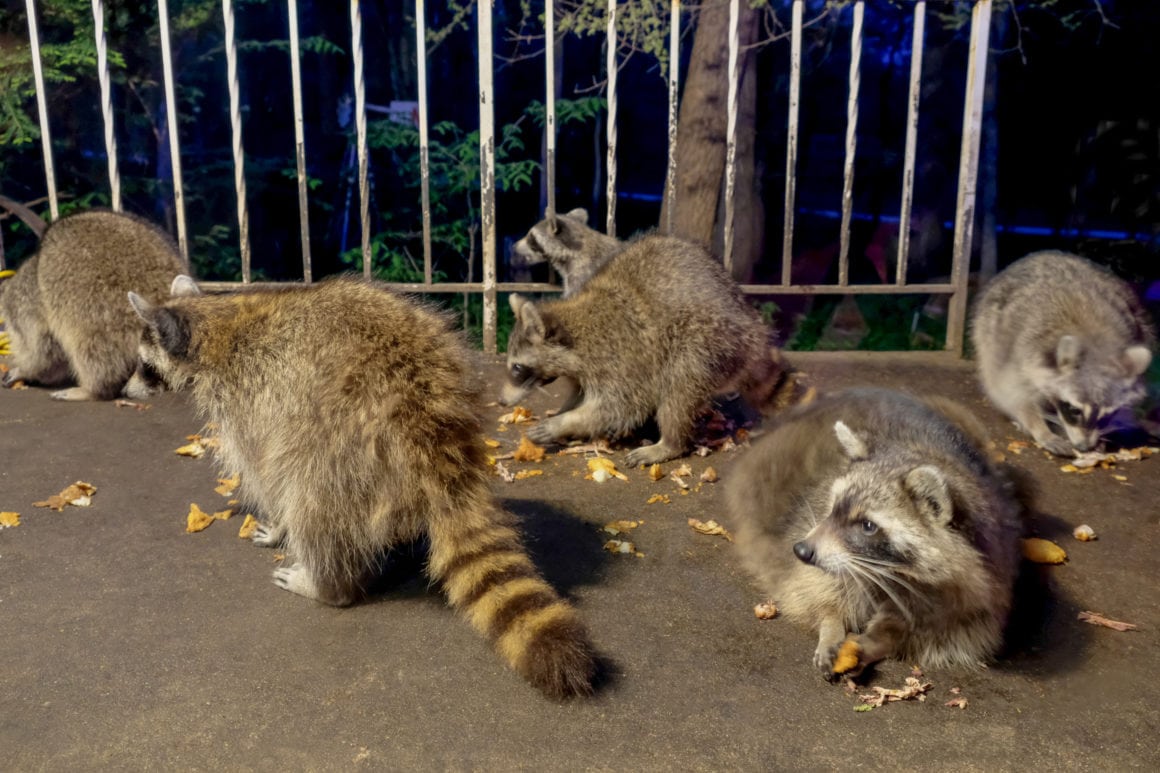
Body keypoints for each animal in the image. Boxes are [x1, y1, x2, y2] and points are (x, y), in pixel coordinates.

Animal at [0, 209, 185, 400]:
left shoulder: (27, 308)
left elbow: (43, 353)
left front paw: (25, 370)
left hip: (101, 306)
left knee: (91, 347)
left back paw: (92, 388)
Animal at [129, 276, 597, 699]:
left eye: (142, 363)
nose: (125, 389)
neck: (216, 320)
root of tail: (436, 447)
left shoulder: (249, 401)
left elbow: (264, 471)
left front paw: (277, 526)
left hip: (342, 447)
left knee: (306, 494)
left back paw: (326, 585)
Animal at [502, 234, 787, 466]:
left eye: (517, 367)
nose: (502, 401)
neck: (575, 327)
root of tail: (753, 330)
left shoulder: (618, 356)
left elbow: (621, 406)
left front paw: (565, 423)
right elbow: (580, 393)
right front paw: (566, 414)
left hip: (708, 343)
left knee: (678, 387)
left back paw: (670, 443)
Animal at [728, 388, 1025, 680]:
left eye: (867, 525)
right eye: (834, 505)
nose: (801, 550)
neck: (892, 573)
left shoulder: (970, 595)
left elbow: (928, 628)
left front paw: (875, 641)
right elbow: (816, 588)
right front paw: (831, 624)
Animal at [971, 250, 1155, 456]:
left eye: (1107, 415)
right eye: (1074, 410)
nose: (1084, 447)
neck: (1095, 342)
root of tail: (1049, 253)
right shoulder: (1020, 349)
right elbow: (1011, 390)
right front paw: (1038, 427)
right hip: (988, 324)